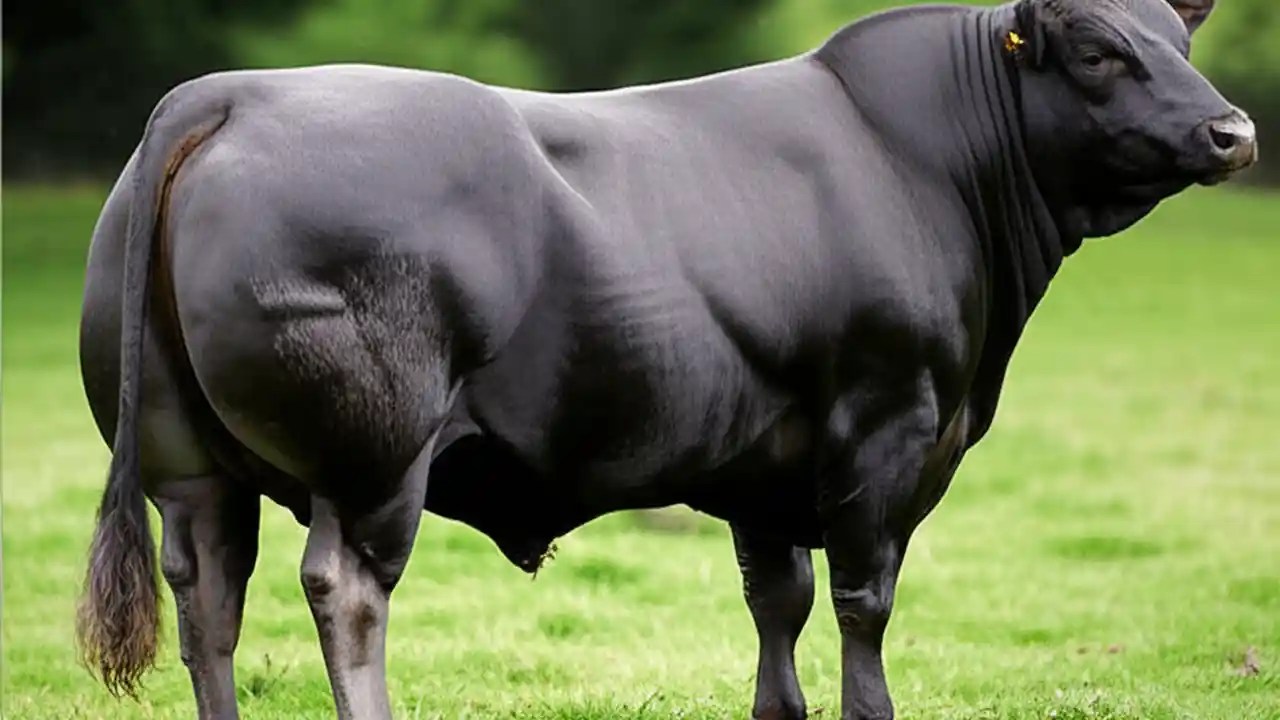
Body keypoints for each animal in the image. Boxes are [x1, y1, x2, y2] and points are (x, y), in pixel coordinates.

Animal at [76, 0, 1255, 718]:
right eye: (1098, 51)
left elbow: (776, 600)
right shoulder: (889, 425)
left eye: (1178, 41)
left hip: (191, 465)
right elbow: (862, 601)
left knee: (208, 594)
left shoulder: (765, 460)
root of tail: (230, 90)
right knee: (343, 590)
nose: (1233, 133)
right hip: (373, 457)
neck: (926, 162)